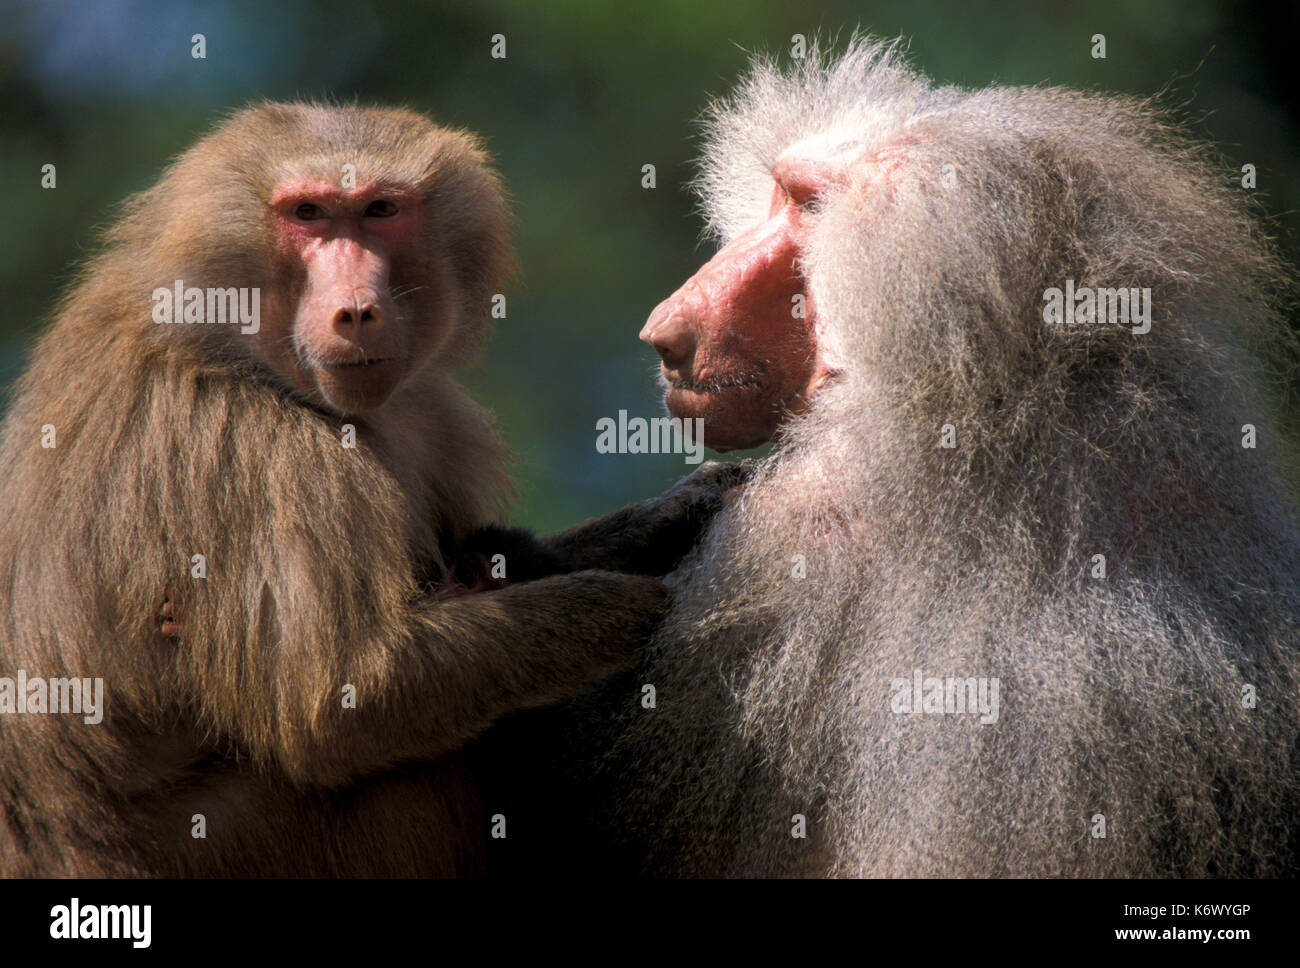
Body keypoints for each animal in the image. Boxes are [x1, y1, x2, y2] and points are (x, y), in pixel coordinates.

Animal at [0, 101, 732, 878]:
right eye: (309, 213)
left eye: (380, 210)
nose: (356, 311)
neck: (233, 350)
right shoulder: (258, 453)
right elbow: (336, 705)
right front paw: (622, 609)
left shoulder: (428, 418)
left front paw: (669, 515)